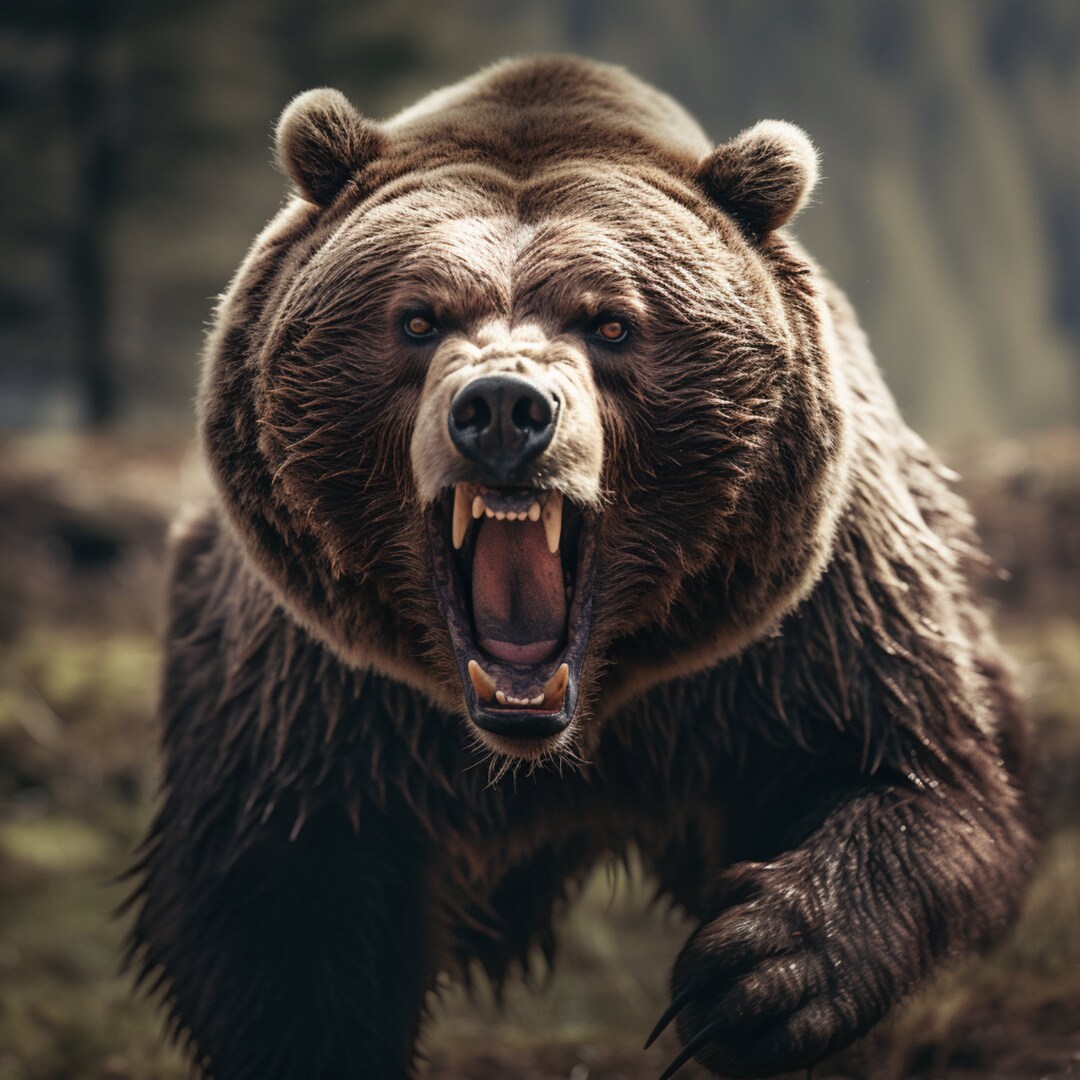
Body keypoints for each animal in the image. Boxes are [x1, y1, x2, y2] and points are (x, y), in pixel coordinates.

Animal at [126, 56, 1036, 1080]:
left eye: (612, 323)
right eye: (417, 318)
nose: (502, 409)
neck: (564, 736)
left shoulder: (809, 625)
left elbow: (919, 771)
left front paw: (763, 967)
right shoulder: (316, 688)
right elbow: (280, 907)